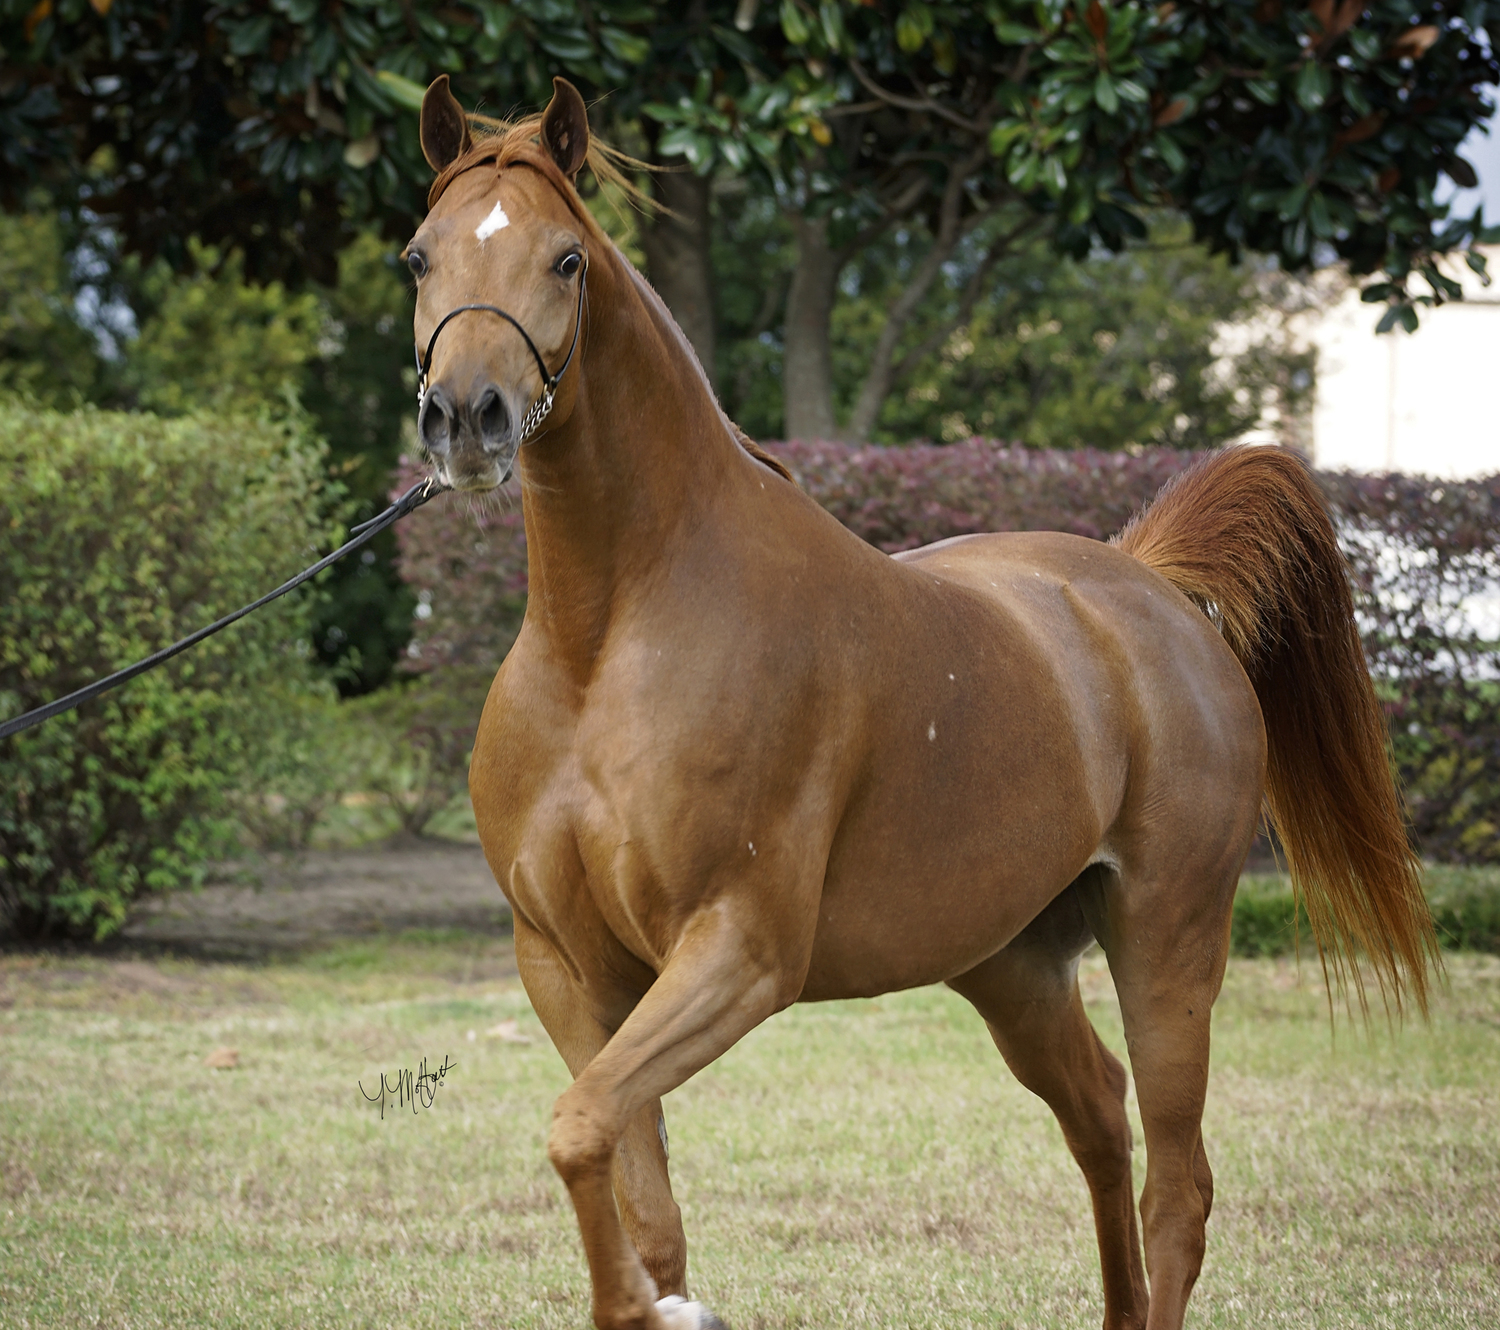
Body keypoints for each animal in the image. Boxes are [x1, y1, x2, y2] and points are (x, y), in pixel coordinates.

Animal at [405, 75, 1436, 1330]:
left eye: (563, 259)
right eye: (417, 256)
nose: (466, 417)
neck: (604, 644)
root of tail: (1146, 586)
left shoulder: (739, 954)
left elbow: (581, 1131)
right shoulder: (565, 967)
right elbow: (630, 1187)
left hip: (1169, 939)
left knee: (1177, 1187)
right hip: (1010, 960)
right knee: (1099, 1117)